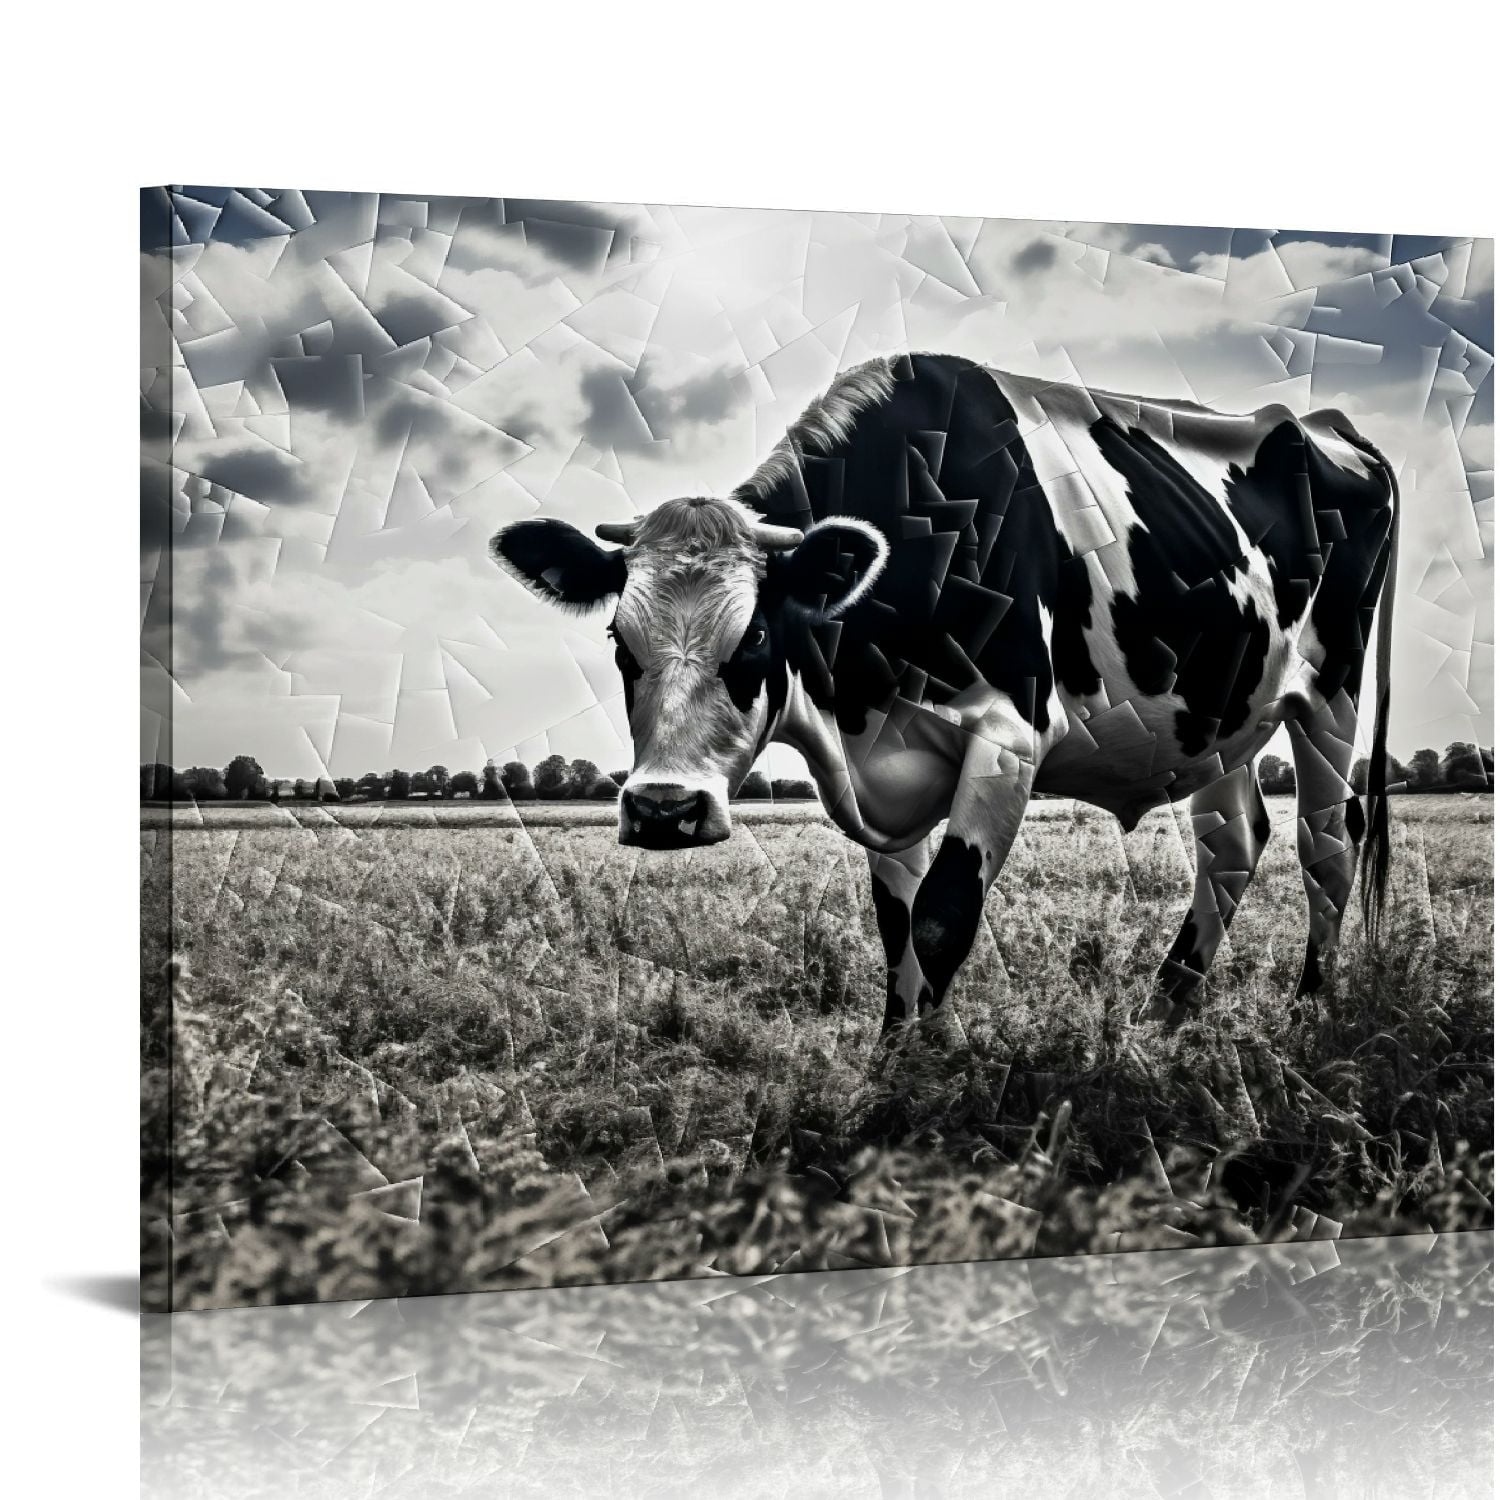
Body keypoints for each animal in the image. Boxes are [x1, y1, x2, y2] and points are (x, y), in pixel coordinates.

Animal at [491, 352, 1399, 1037]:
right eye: (620, 643)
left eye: (754, 638)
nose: (662, 811)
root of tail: (1325, 426)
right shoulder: (884, 760)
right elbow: (898, 927)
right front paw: (903, 1054)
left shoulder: (1008, 736)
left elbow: (943, 914)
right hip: (1216, 708)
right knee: (1233, 842)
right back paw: (1164, 1013)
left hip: (1332, 692)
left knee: (1327, 844)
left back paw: (1307, 1012)